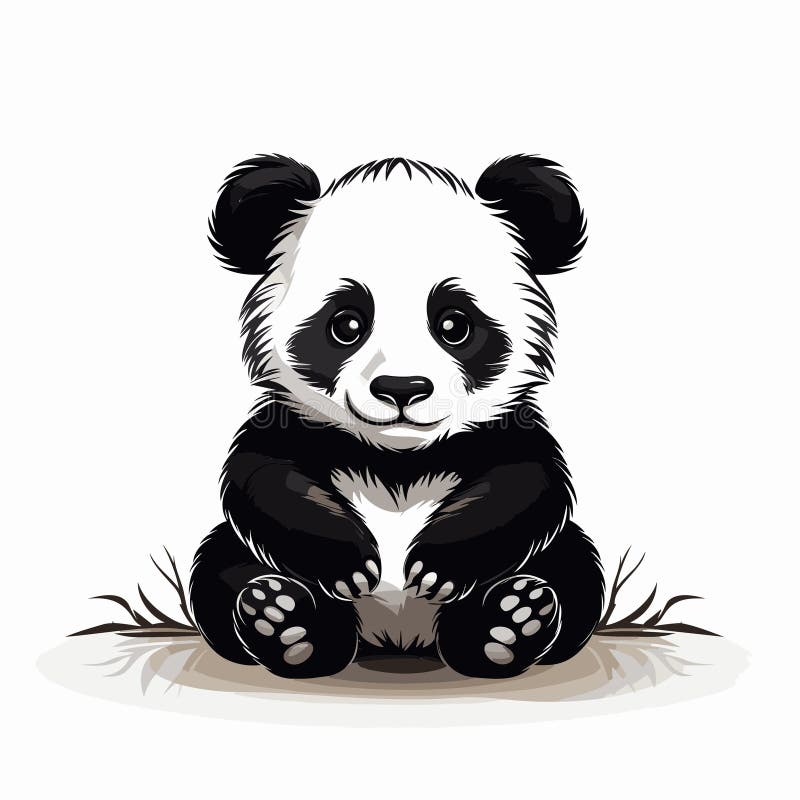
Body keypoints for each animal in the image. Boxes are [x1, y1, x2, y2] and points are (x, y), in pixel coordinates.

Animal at [188, 154, 605, 679]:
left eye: (454, 324)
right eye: (347, 323)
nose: (401, 389)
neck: (398, 458)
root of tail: (398, 639)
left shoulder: (504, 428)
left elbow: (523, 485)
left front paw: (437, 568)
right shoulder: (291, 423)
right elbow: (267, 481)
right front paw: (349, 565)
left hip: (557, 561)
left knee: (573, 574)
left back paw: (507, 625)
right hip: (238, 560)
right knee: (222, 571)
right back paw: (288, 625)